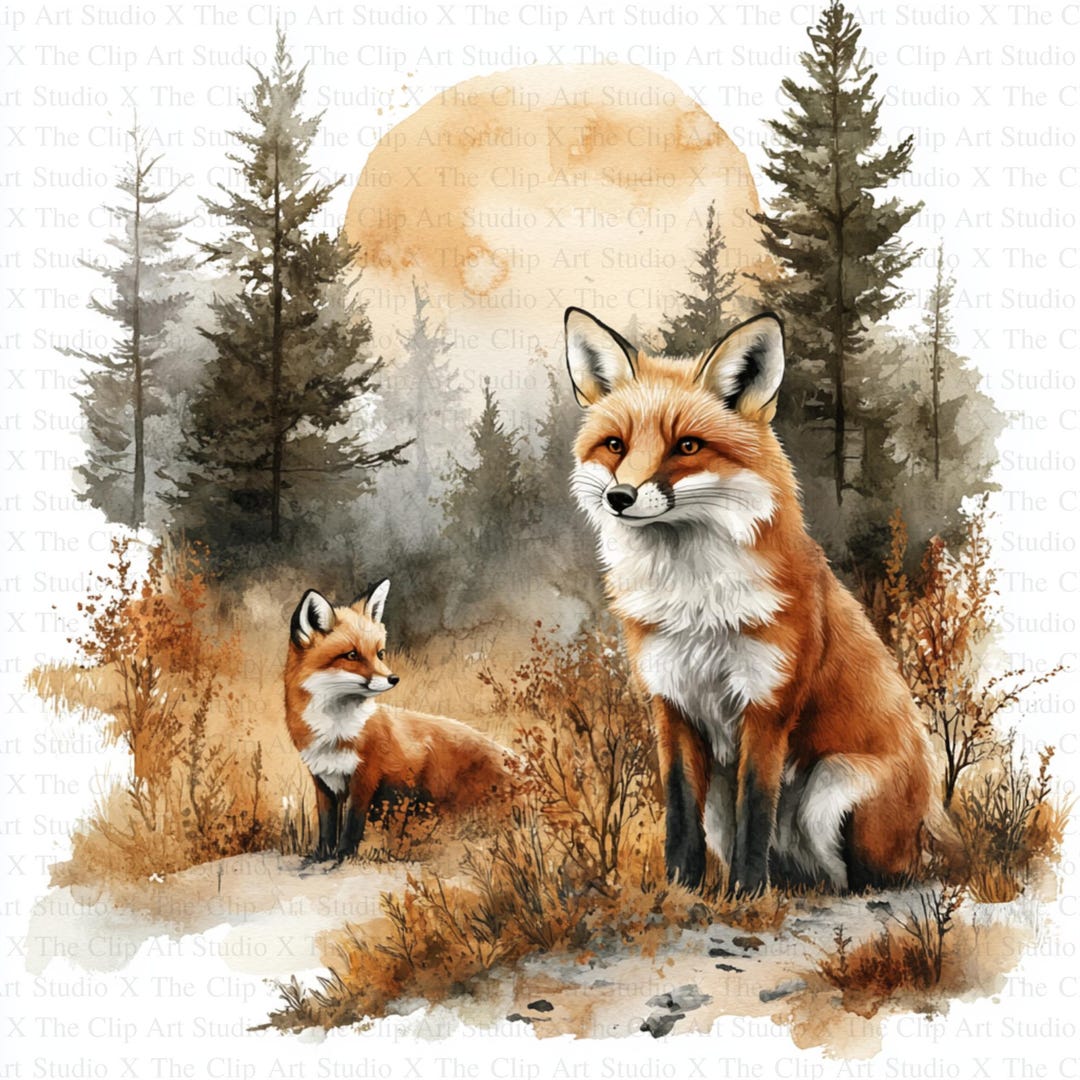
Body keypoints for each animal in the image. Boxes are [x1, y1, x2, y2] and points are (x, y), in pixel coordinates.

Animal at [285, 580, 517, 859]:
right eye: (351, 655)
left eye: (380, 653)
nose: (393, 678)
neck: (335, 733)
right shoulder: (323, 780)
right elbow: (328, 825)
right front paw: (323, 854)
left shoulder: (365, 778)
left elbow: (353, 825)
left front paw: (344, 855)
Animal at [564, 306, 960, 895]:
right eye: (616, 445)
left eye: (687, 446)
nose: (620, 497)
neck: (696, 606)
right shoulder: (671, 703)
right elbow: (679, 814)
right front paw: (682, 890)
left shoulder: (767, 705)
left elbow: (756, 810)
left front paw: (747, 894)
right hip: (725, 805)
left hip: (831, 789)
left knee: (869, 877)